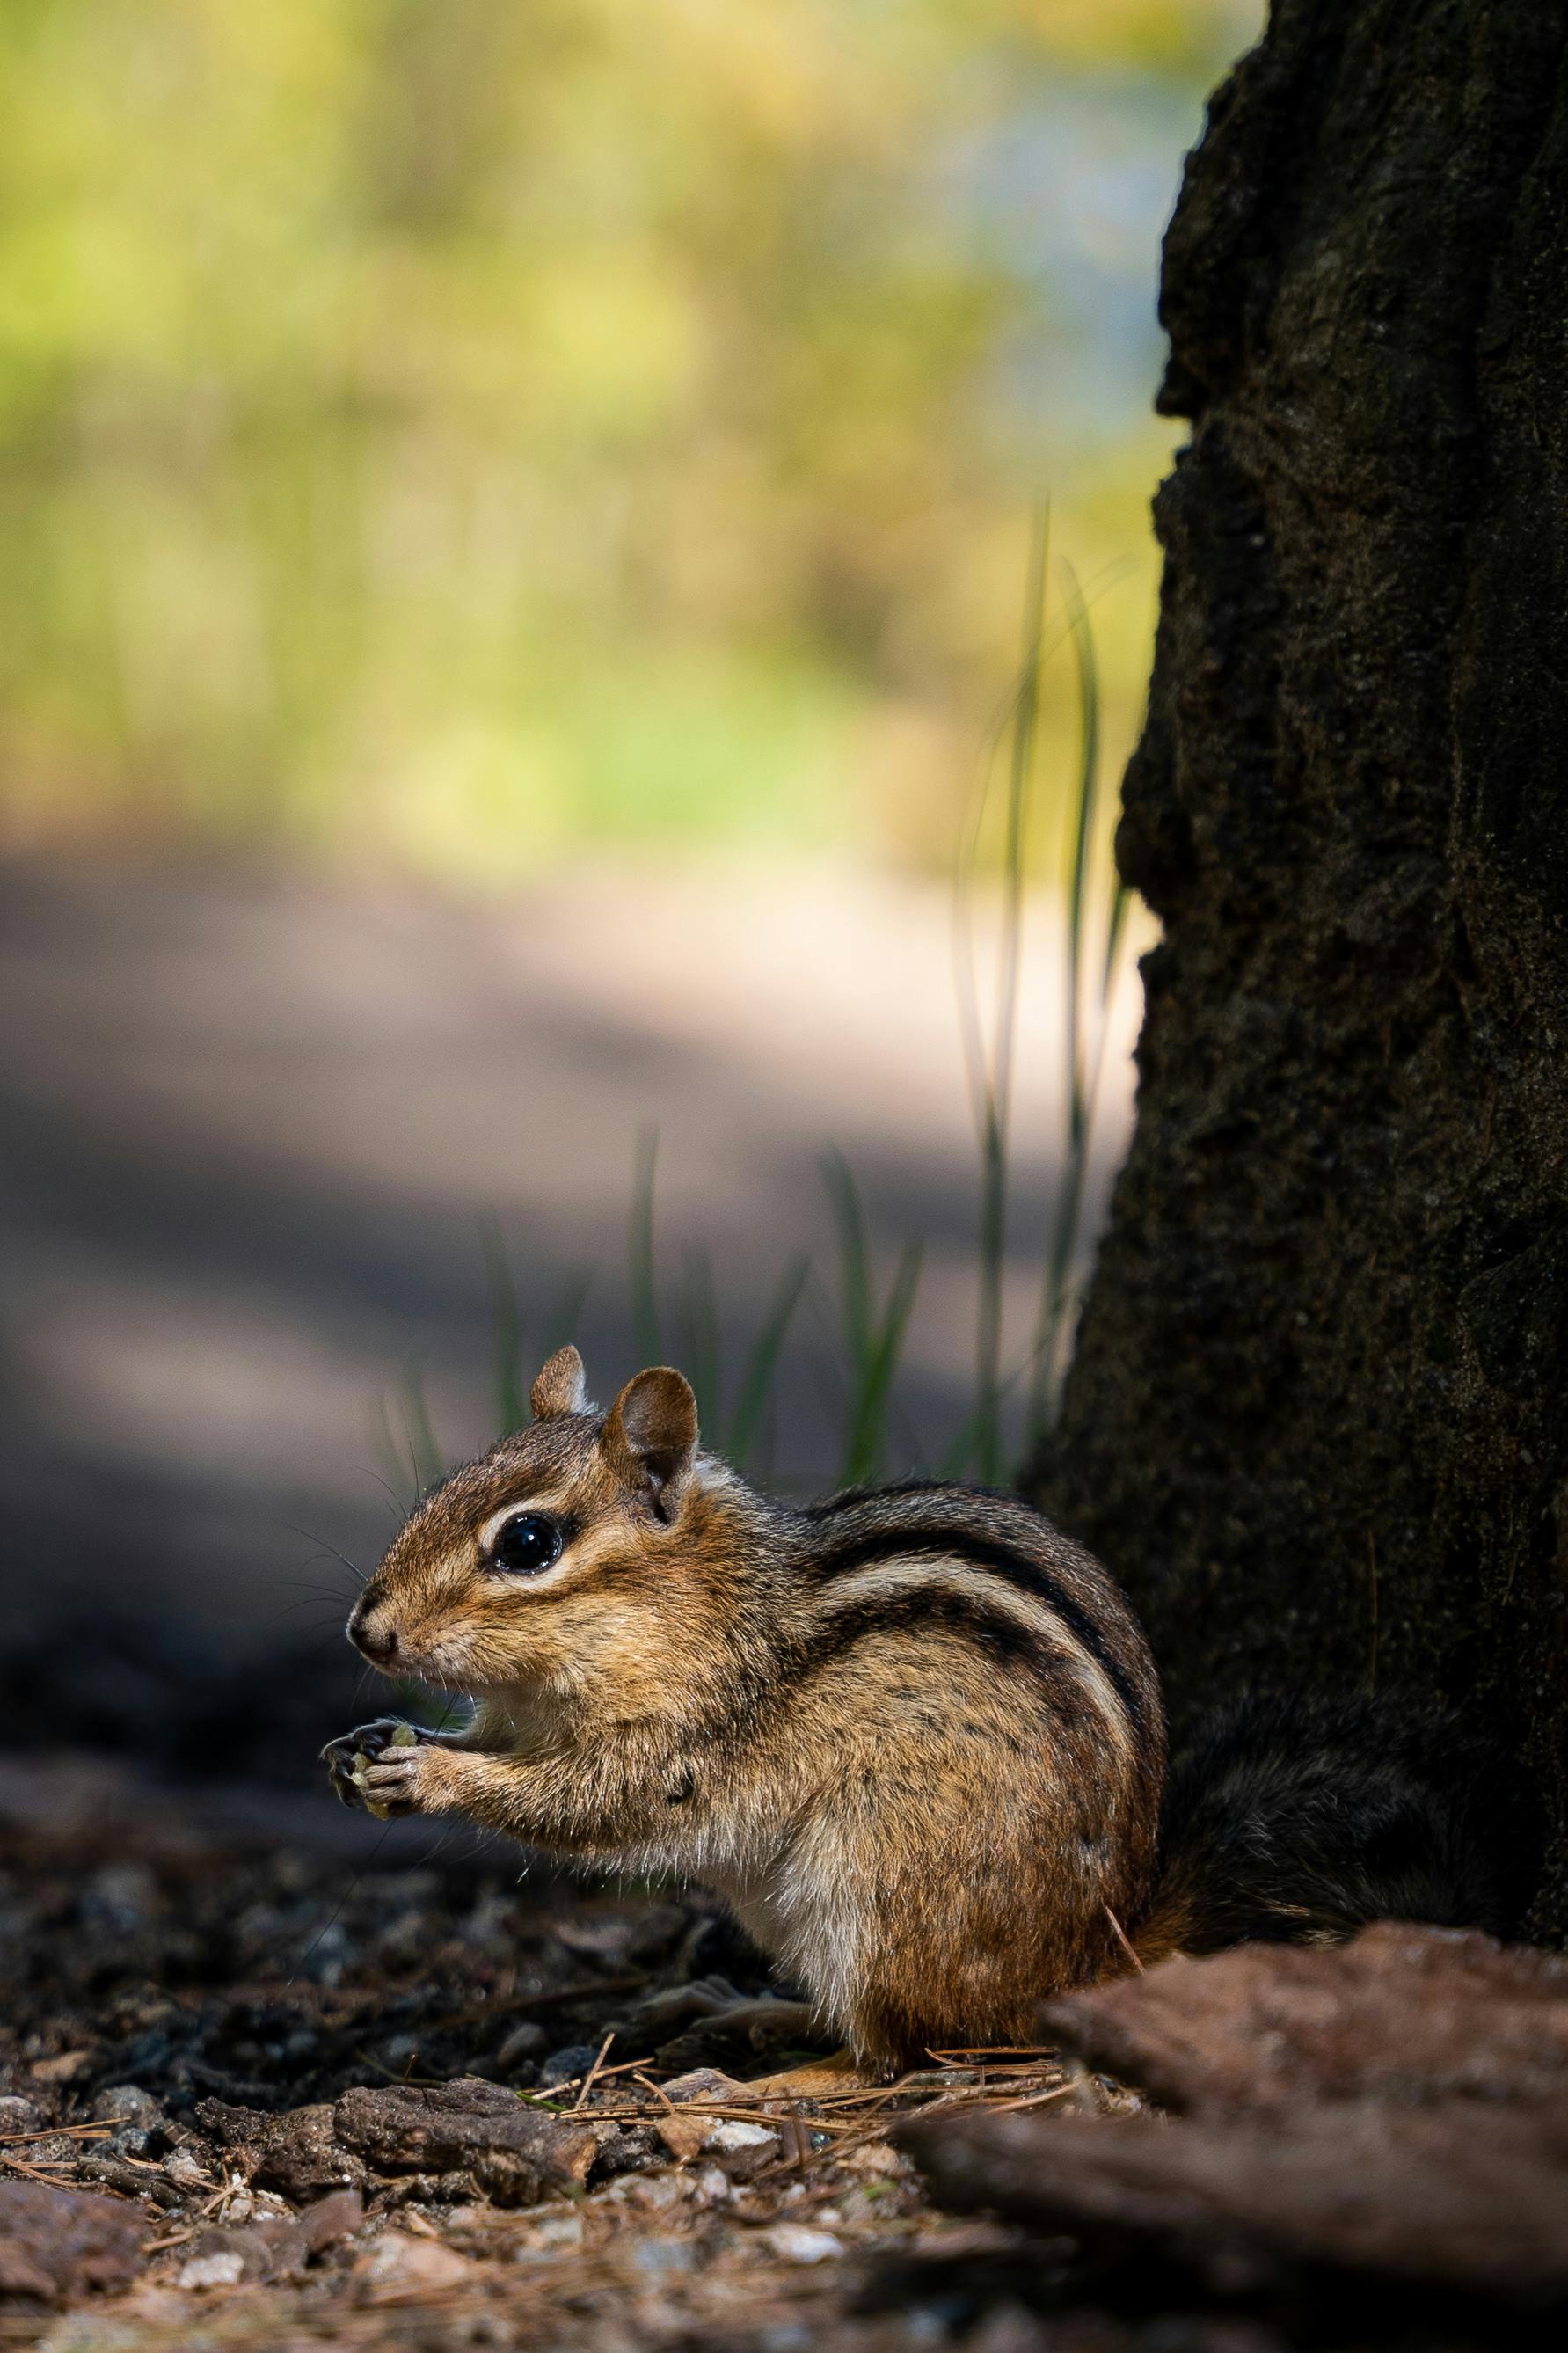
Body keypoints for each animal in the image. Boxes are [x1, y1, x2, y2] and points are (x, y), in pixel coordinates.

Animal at [323, 1346, 1535, 2074]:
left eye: (528, 1542)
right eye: (445, 1487)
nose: (366, 1635)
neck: (693, 1602)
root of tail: (1085, 1959)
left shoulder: (692, 1731)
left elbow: (596, 1805)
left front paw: (432, 1771)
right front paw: (370, 1747)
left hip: (875, 1880)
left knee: (898, 2047)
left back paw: (782, 2074)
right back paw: (743, 2009)